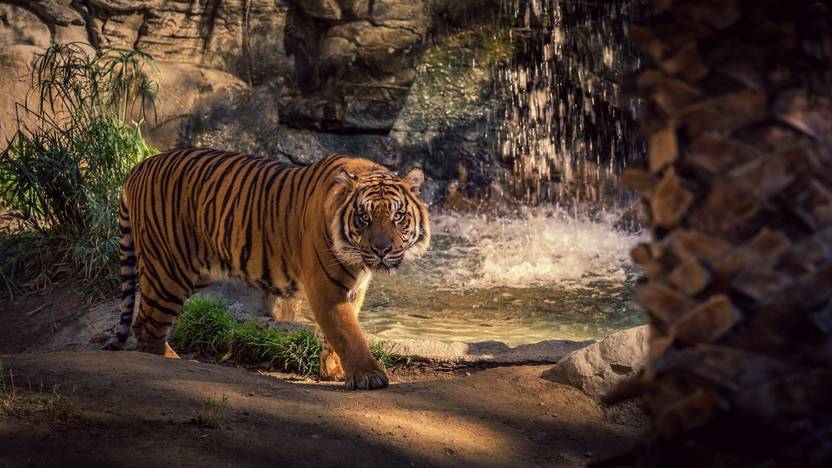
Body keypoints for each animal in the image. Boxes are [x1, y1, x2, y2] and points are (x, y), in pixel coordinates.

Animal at [107, 148, 430, 390]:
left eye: (398, 216)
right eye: (364, 217)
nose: (381, 250)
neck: (357, 259)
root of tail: (139, 166)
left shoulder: (355, 288)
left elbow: (341, 329)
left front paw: (333, 370)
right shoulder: (325, 286)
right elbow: (347, 330)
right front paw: (368, 375)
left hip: (195, 270)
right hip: (168, 270)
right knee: (146, 324)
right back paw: (170, 362)